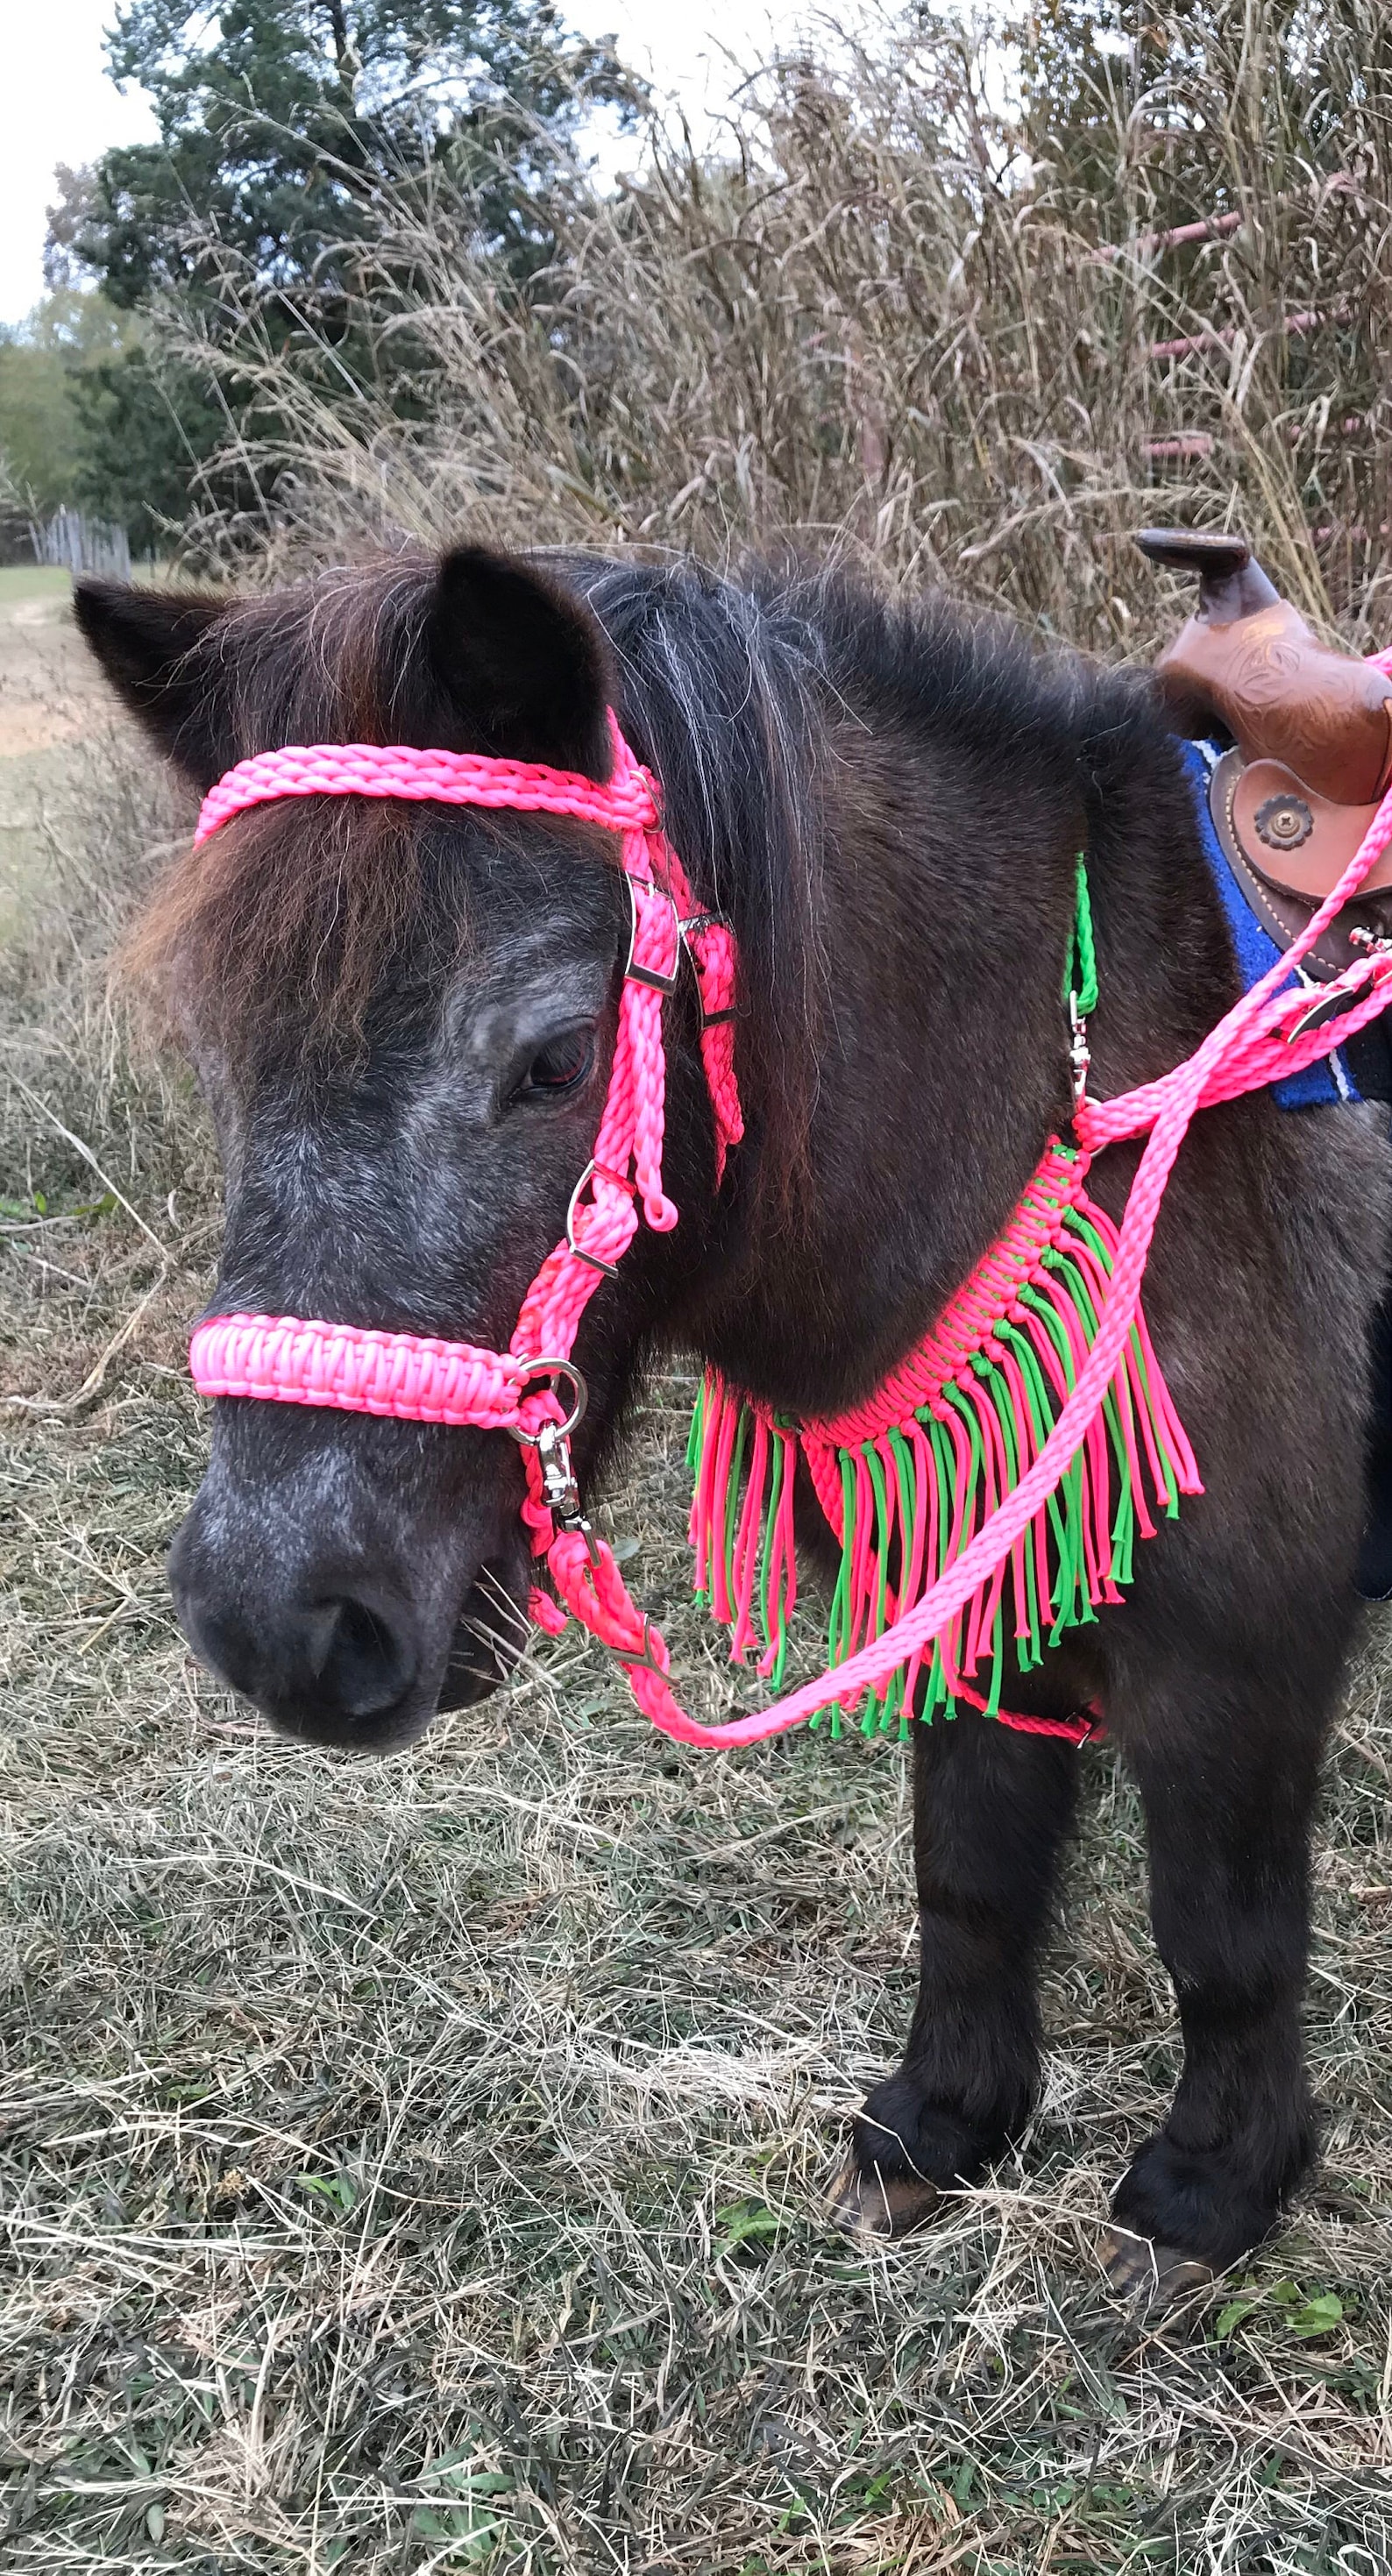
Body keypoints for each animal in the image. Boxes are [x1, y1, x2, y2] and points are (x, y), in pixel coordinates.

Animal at [75, 543, 1389, 2299]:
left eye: (555, 1058)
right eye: (222, 1065)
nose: (280, 1624)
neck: (1097, 1098)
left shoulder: (1237, 1655)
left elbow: (1224, 1932)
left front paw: (1212, 2187)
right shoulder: (969, 1603)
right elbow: (971, 1866)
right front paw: (943, 2117)